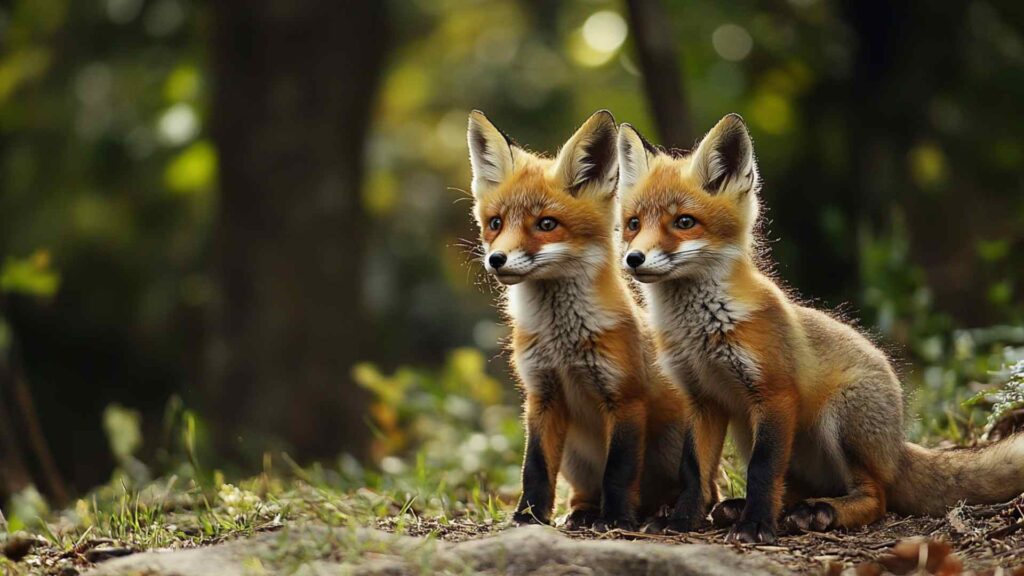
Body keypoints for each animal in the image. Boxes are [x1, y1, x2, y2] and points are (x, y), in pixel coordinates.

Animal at [467, 109, 702, 530]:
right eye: (495, 223)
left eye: (546, 224)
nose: (496, 260)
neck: (562, 342)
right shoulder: (541, 396)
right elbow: (535, 468)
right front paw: (528, 517)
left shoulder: (625, 396)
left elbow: (619, 470)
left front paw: (616, 520)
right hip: (576, 456)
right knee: (580, 490)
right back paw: (581, 513)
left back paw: (659, 511)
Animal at [615, 113, 1024, 543]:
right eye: (633, 224)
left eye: (684, 222)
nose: (633, 258)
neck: (701, 331)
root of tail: (898, 446)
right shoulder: (702, 400)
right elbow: (693, 471)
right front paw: (681, 520)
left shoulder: (776, 394)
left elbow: (762, 471)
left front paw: (756, 526)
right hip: (751, 430)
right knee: (795, 487)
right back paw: (756, 508)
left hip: (838, 420)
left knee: (875, 498)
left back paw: (820, 512)